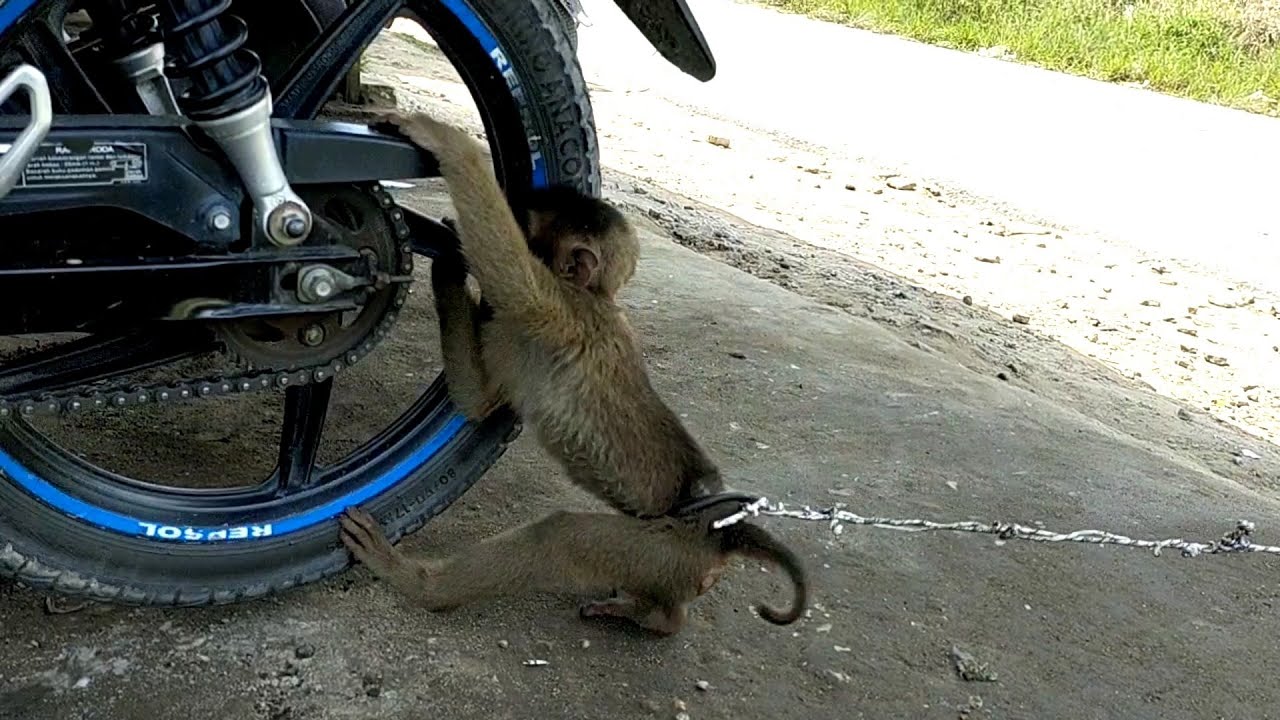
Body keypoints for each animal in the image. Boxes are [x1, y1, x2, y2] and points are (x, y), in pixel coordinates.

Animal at [339, 111, 806, 635]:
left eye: (526, 221)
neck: (594, 296)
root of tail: (723, 532)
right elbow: (477, 399)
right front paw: (449, 267)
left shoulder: (550, 311)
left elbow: (509, 273)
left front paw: (446, 144)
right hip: (673, 561)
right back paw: (659, 617)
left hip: (661, 548)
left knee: (560, 538)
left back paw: (415, 581)